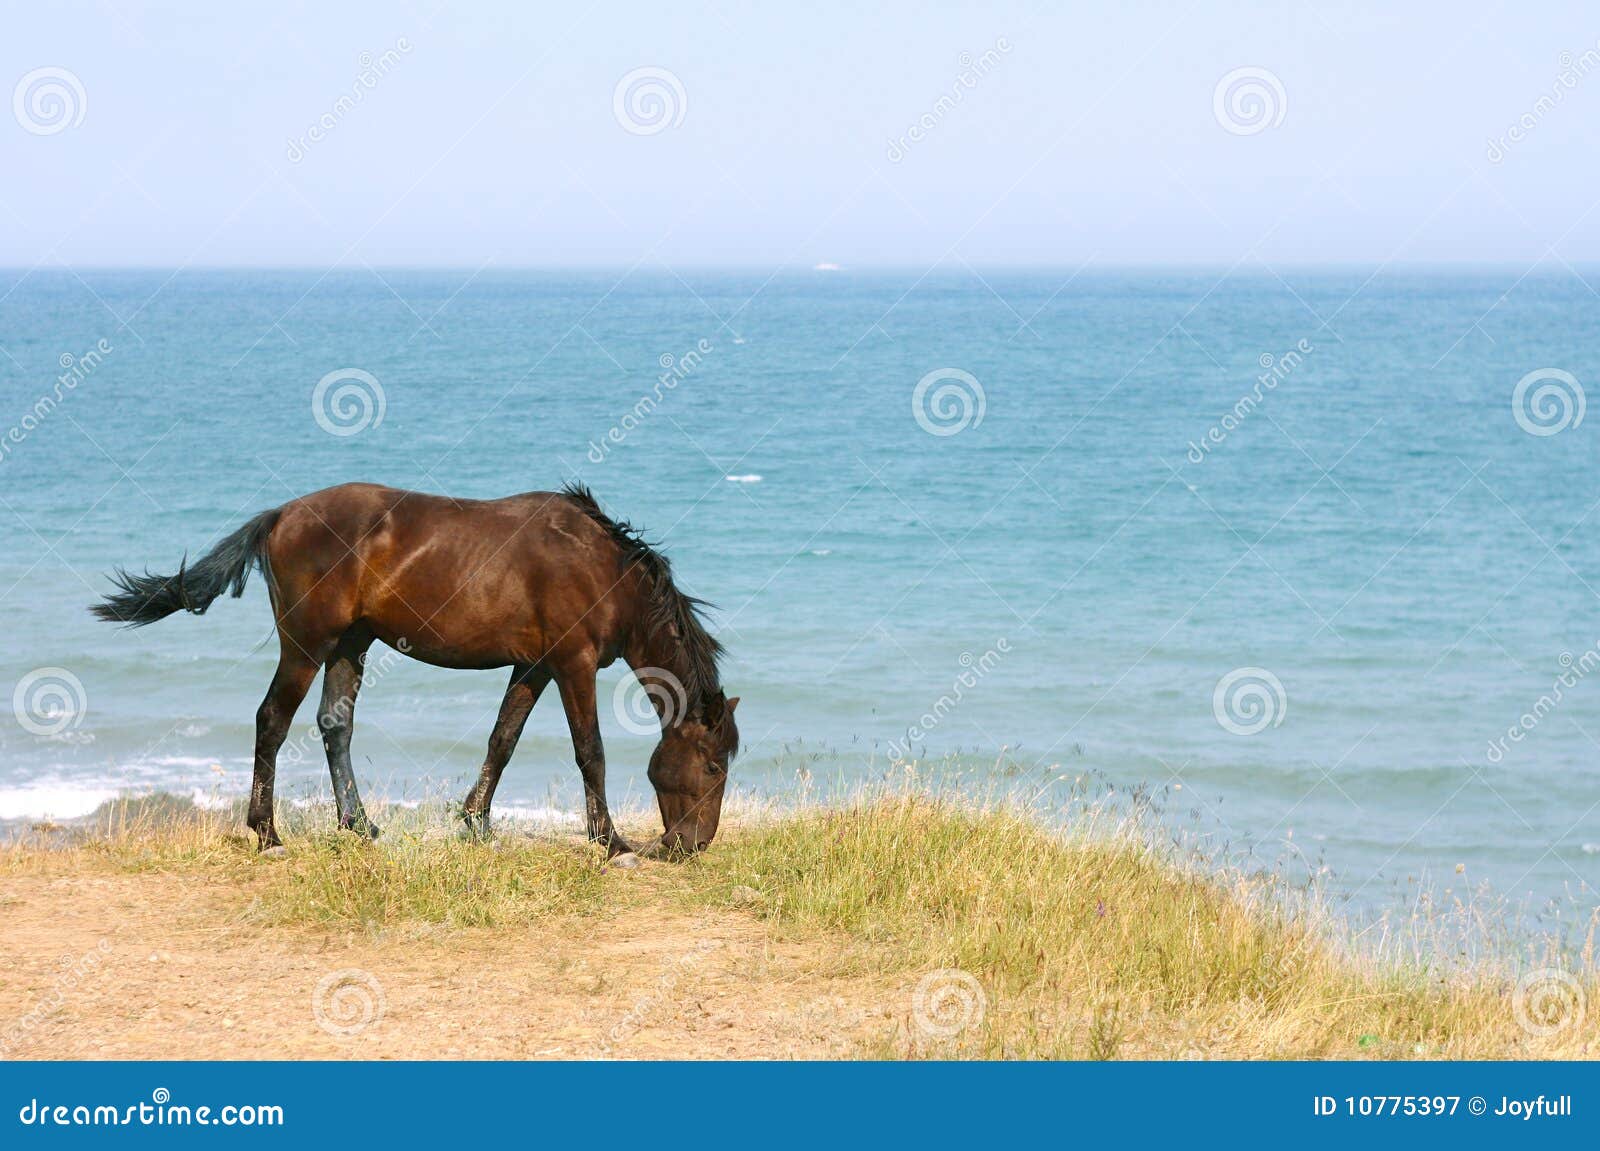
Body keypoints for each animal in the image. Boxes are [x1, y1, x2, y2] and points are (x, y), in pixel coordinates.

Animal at [90, 482, 739, 866]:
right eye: (712, 765)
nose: (693, 846)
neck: (602, 568)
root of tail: (280, 517)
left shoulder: (532, 666)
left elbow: (503, 740)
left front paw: (476, 823)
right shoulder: (571, 664)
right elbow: (590, 751)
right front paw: (611, 843)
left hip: (350, 644)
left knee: (335, 725)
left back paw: (358, 825)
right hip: (305, 645)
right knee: (272, 721)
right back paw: (268, 835)